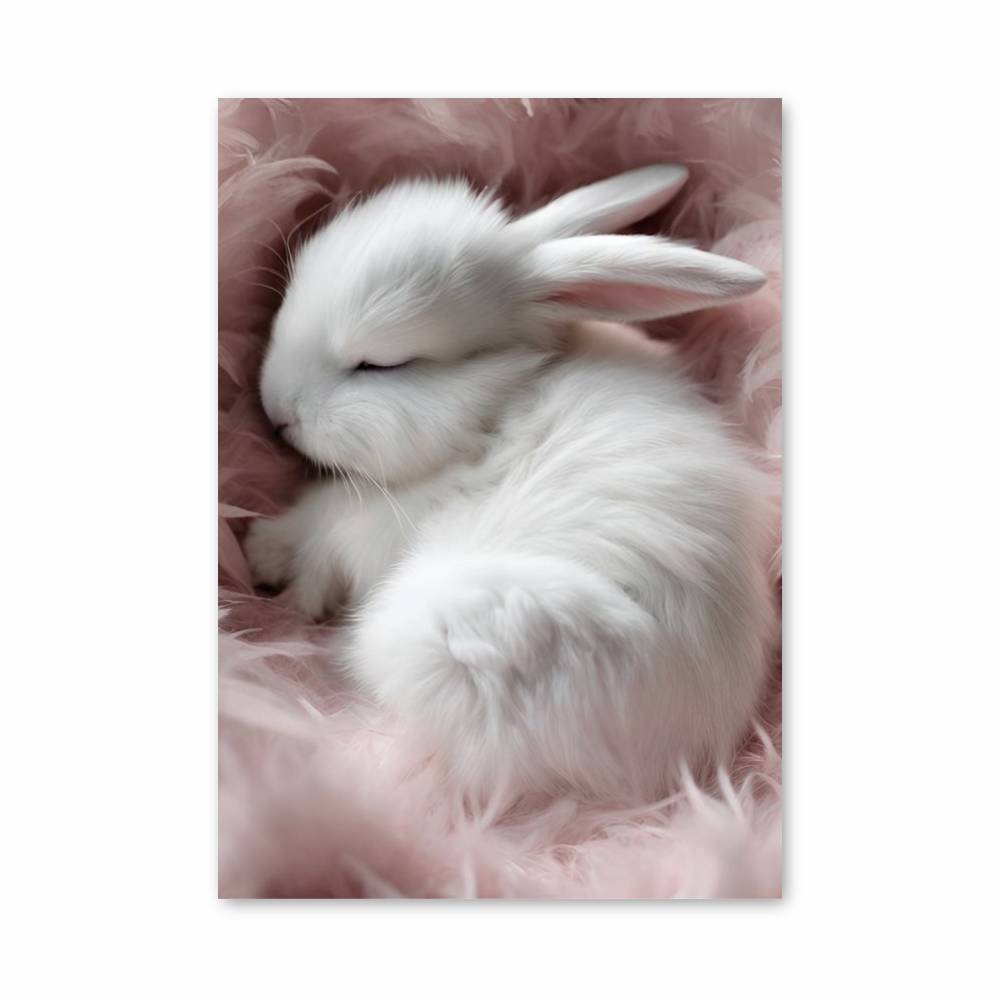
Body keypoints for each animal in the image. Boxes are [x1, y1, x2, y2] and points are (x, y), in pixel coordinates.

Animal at [244, 164, 777, 806]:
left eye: (381, 365)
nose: (276, 410)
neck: (489, 409)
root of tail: (669, 771)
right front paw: (261, 552)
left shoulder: (360, 525)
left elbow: (320, 537)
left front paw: (275, 573)